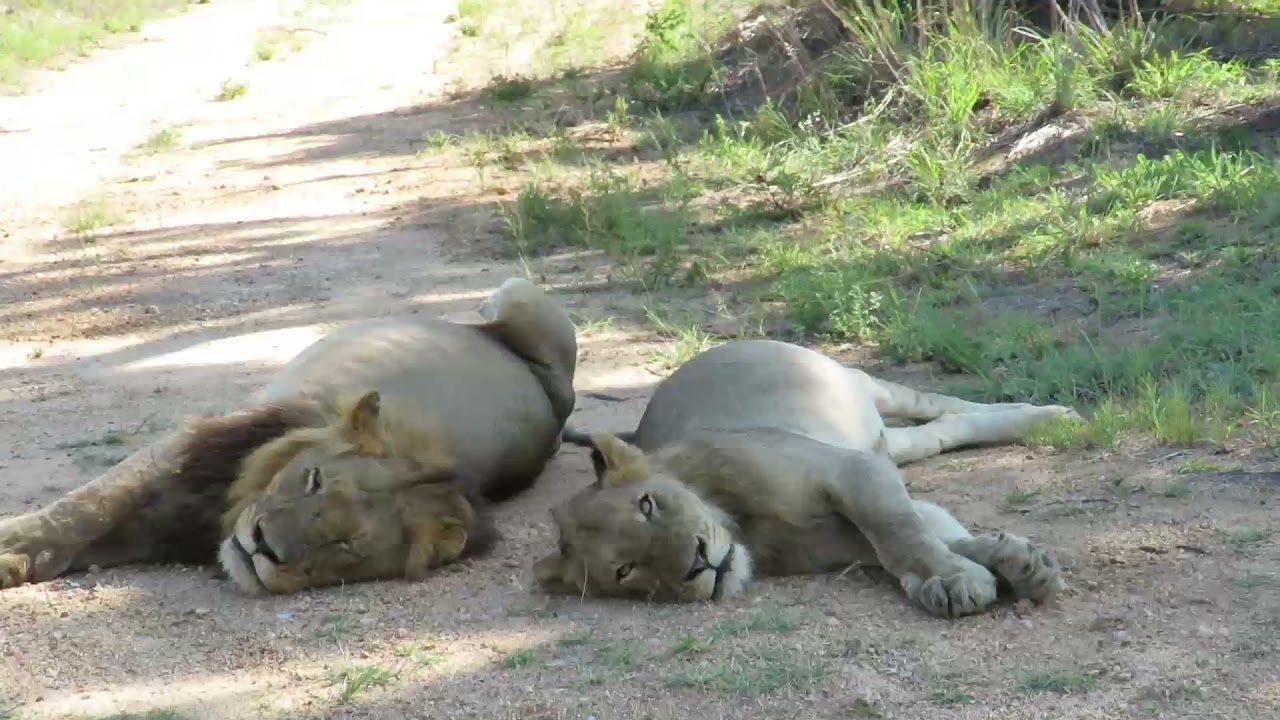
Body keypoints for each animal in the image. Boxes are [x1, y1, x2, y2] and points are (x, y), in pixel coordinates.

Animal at [0, 276, 577, 595]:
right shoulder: (192, 451)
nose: (262, 547)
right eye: (313, 480)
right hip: (516, 297)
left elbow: (80, 534)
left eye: (343, 546)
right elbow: (80, 512)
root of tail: (556, 395)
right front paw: (12, 547)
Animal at [535, 338, 1076, 619]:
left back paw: (1051, 417)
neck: (744, 529)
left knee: (944, 404)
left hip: (857, 384)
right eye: (626, 571)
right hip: (884, 441)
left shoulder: (850, 471)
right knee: (939, 431)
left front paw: (963, 576)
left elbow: (901, 533)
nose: (697, 564)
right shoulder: (849, 524)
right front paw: (1010, 563)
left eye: (648, 505)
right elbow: (918, 540)